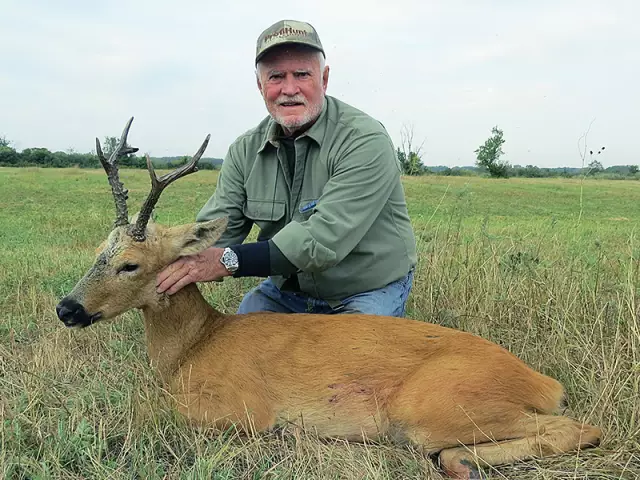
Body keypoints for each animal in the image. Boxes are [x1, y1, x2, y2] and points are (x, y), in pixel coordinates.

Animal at [55, 118, 600, 478]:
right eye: (100, 249)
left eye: (131, 264)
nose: (67, 308)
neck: (193, 347)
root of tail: (544, 381)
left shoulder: (243, 408)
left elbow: (148, 410)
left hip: (435, 406)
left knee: (580, 428)